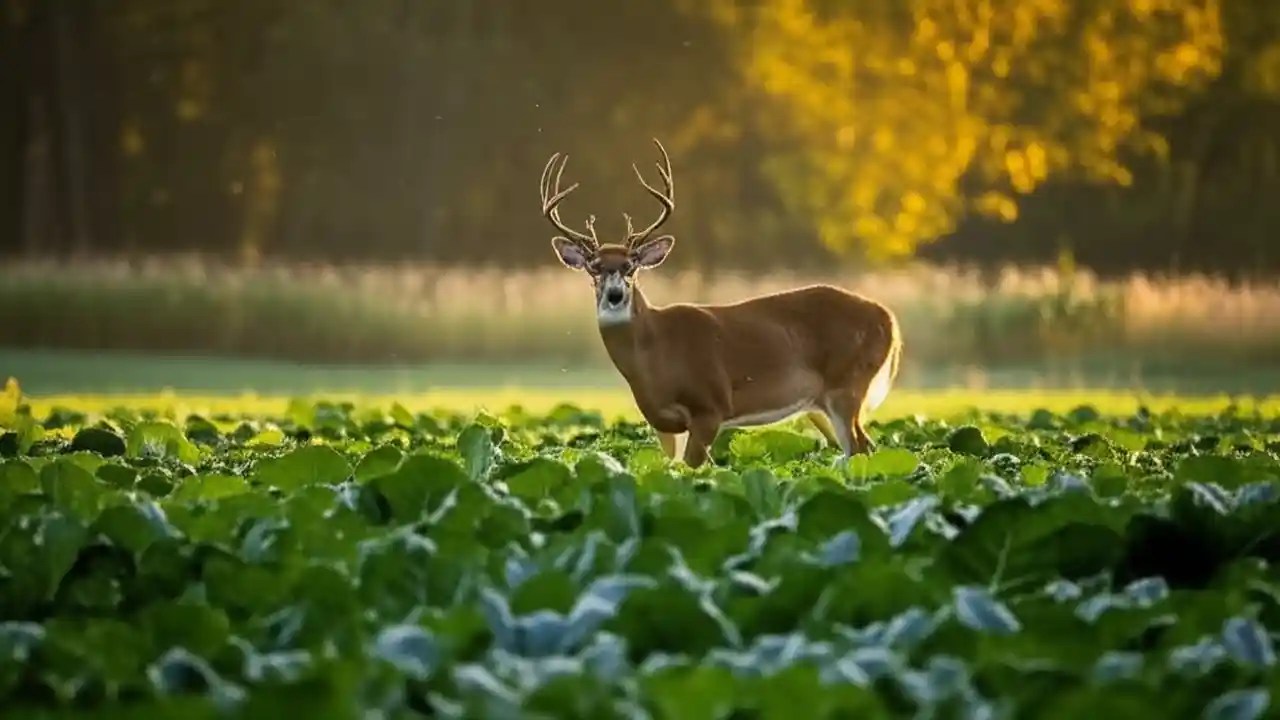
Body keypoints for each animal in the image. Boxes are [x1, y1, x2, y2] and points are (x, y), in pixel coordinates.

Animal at [539, 139, 903, 469]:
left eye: (631, 266)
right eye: (594, 267)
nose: (615, 295)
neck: (656, 353)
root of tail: (889, 319)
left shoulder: (710, 407)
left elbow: (695, 469)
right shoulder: (662, 423)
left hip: (847, 385)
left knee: (860, 448)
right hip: (820, 405)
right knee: (864, 448)